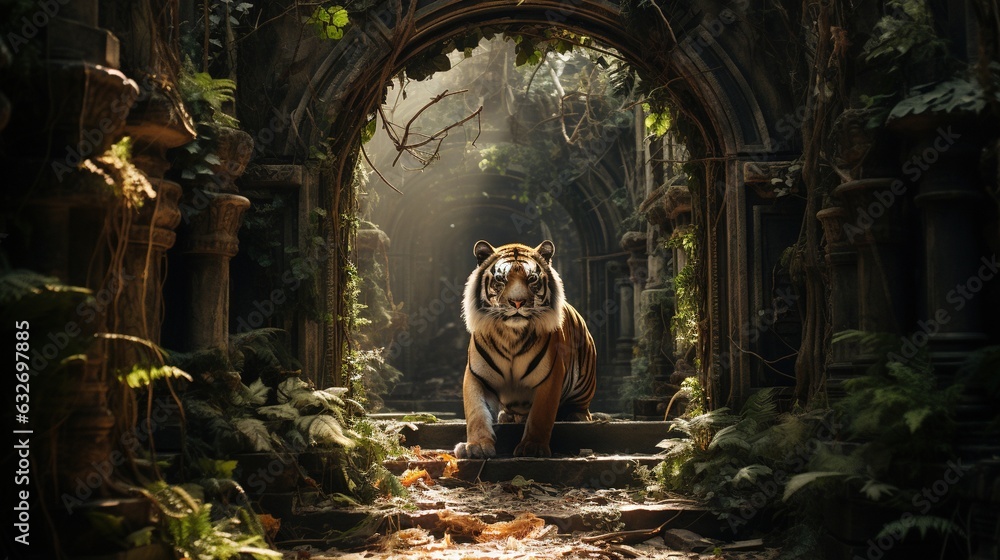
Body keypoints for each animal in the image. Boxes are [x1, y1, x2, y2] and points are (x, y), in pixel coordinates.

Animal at [454, 240, 597, 458]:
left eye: (531, 279)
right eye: (500, 279)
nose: (517, 302)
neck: (511, 336)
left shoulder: (550, 377)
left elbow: (540, 415)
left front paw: (533, 447)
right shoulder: (477, 377)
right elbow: (476, 411)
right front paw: (477, 446)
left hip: (584, 380)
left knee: (581, 407)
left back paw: (576, 416)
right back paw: (506, 416)